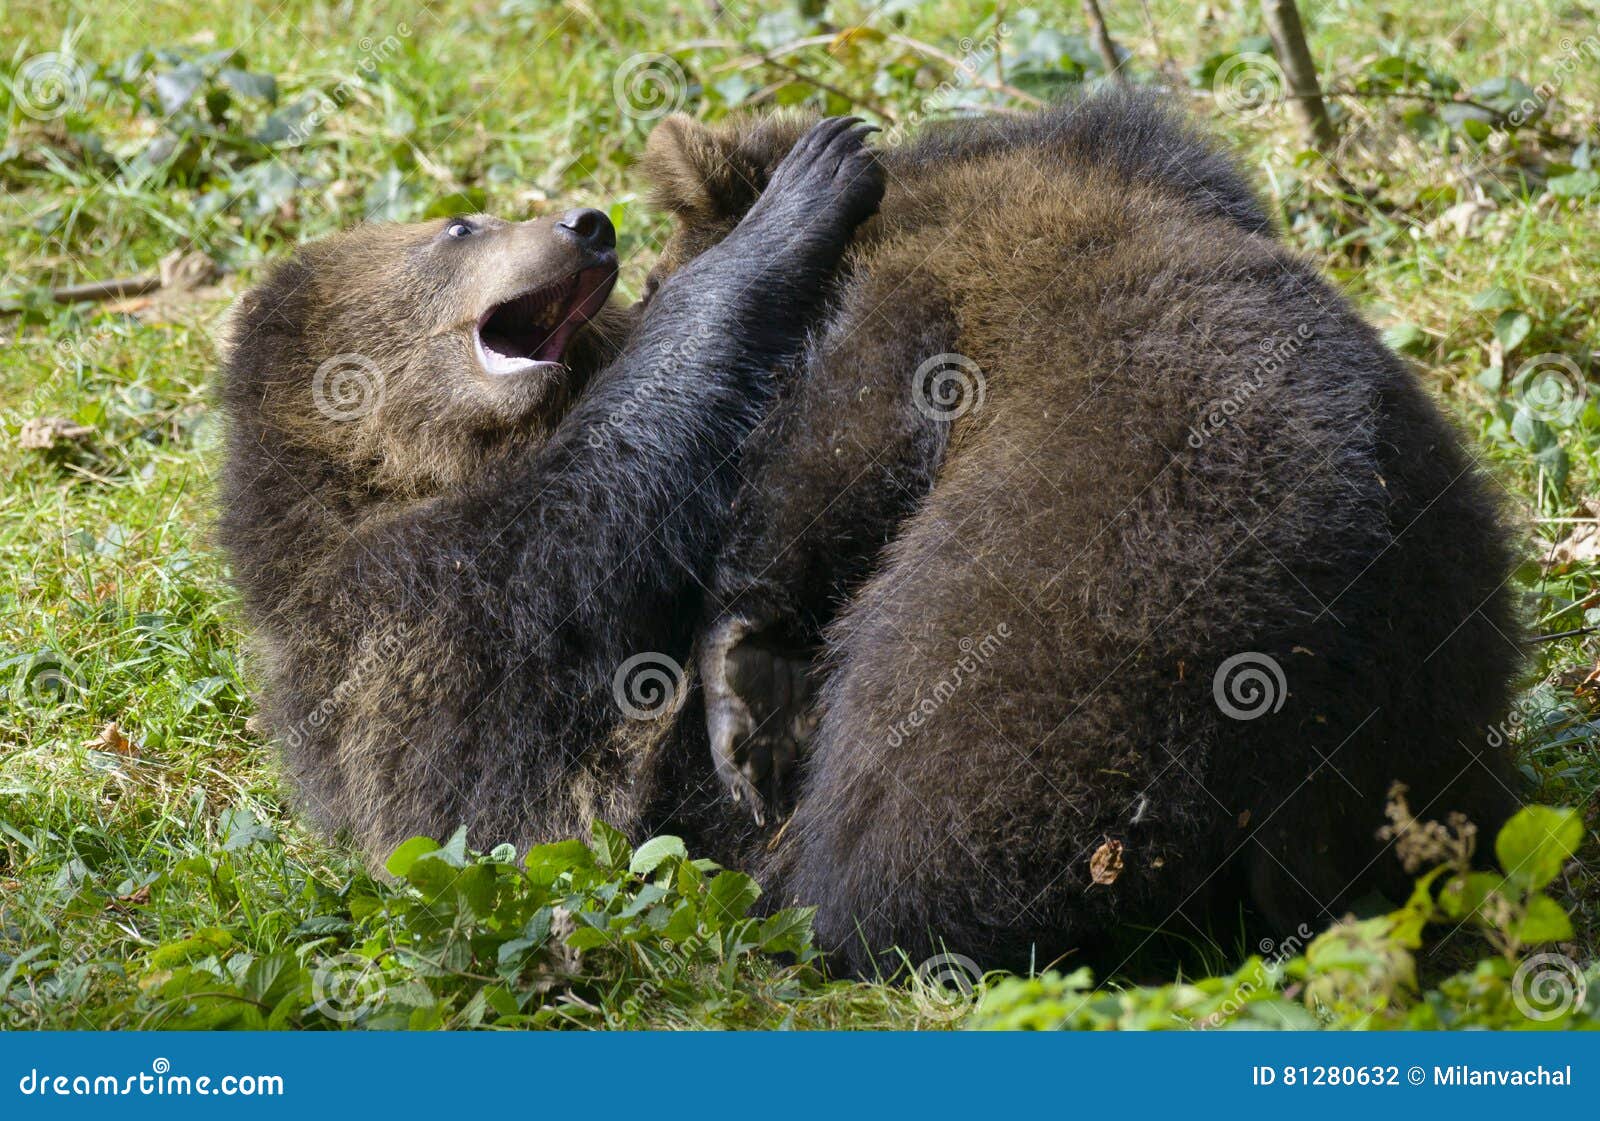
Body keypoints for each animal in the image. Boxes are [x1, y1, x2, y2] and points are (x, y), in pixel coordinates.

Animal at [639, 89, 1524, 976]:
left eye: (650, 281)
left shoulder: (912, 322)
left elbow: (828, 466)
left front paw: (743, 687)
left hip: (1050, 640)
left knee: (905, 837)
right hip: (1441, 672)